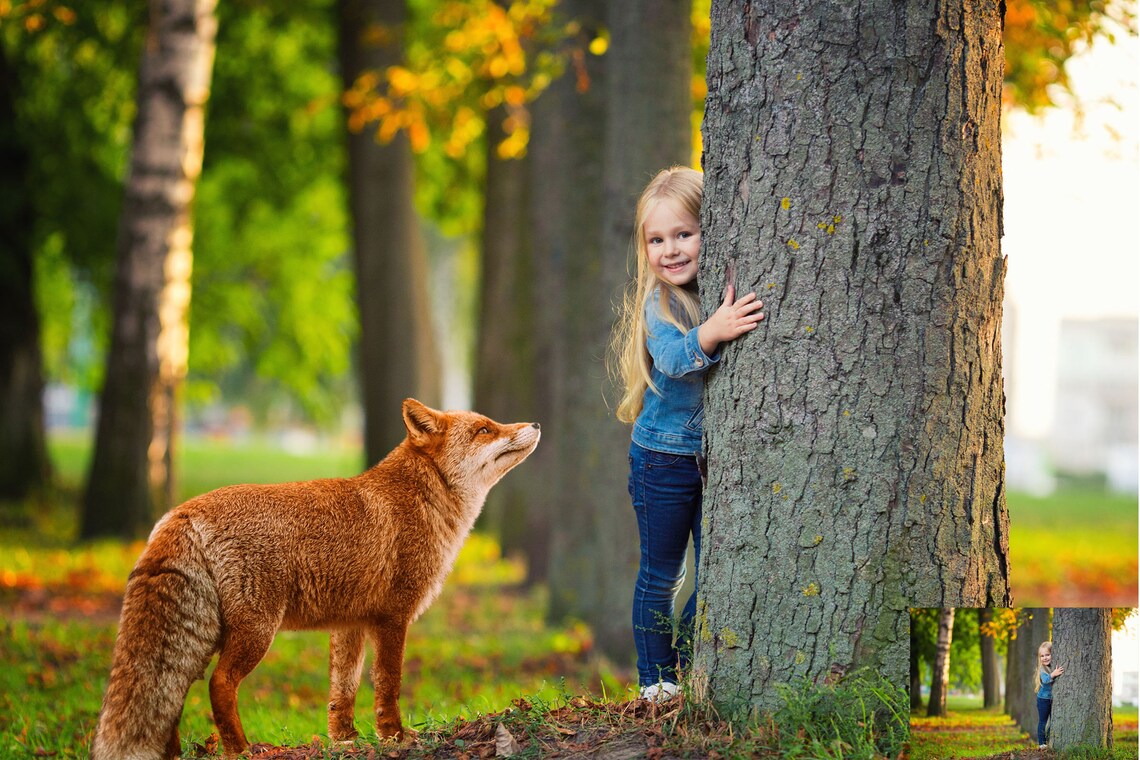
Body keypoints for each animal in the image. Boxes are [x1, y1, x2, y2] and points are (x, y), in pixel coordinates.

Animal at [90, 399, 540, 760]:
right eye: (485, 429)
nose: (535, 423)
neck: (421, 502)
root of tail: (180, 512)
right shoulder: (393, 617)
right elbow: (388, 685)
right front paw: (394, 736)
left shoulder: (350, 624)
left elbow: (342, 692)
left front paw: (346, 740)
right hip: (254, 631)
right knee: (218, 685)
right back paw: (240, 748)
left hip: (205, 638)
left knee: (172, 697)